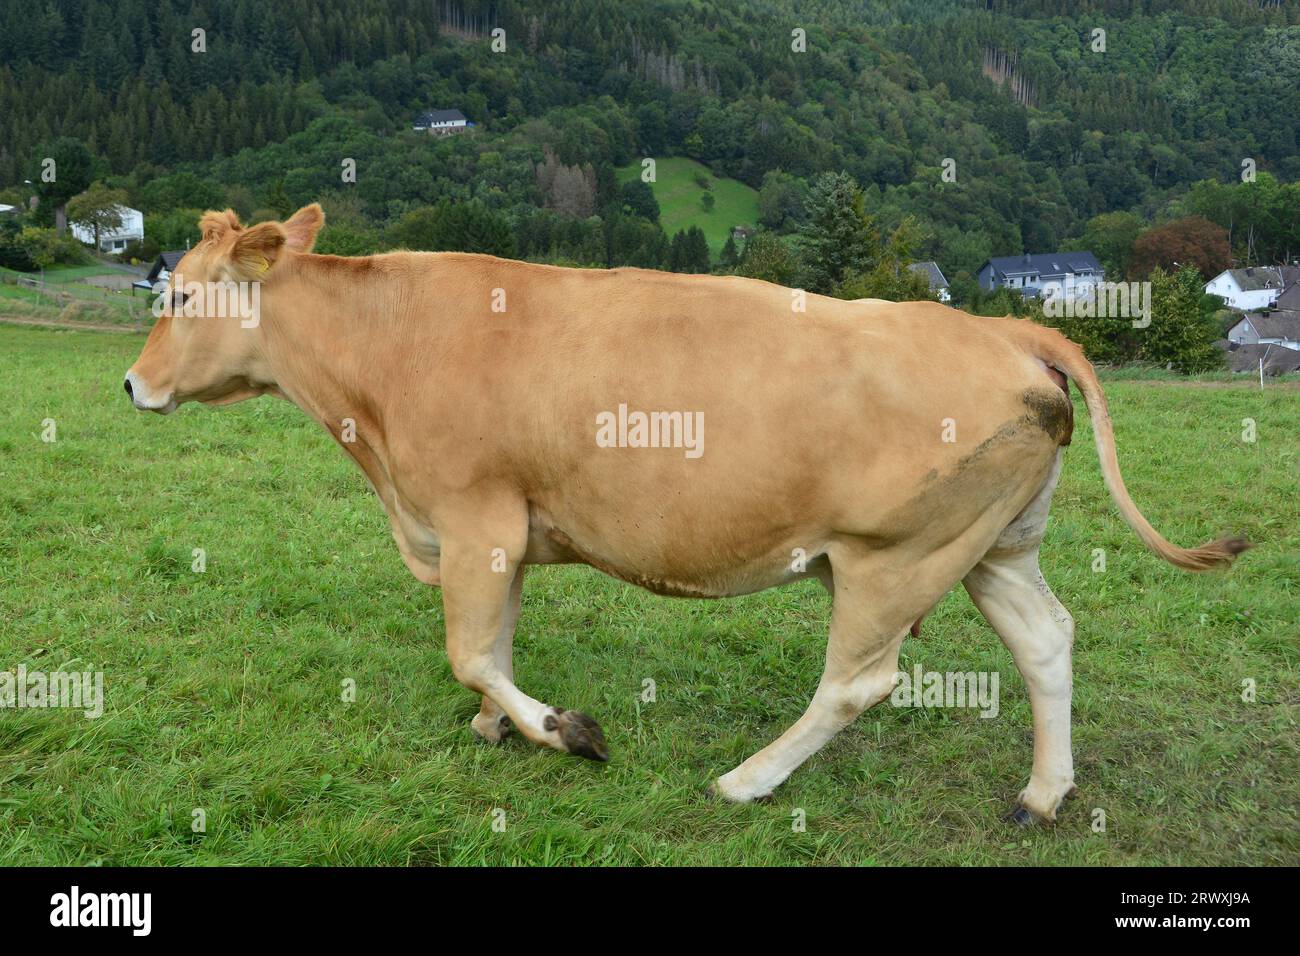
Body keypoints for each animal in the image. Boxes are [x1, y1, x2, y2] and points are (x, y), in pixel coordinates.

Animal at [124, 205, 1248, 824]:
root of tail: (1007, 328)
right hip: (990, 545)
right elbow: (495, 640)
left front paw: (562, 730)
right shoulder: (504, 531)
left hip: (891, 556)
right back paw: (1042, 794)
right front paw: (497, 726)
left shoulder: (475, 516)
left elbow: (470, 649)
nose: (132, 386)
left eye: (177, 296)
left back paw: (746, 782)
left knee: (858, 681)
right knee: (1046, 638)